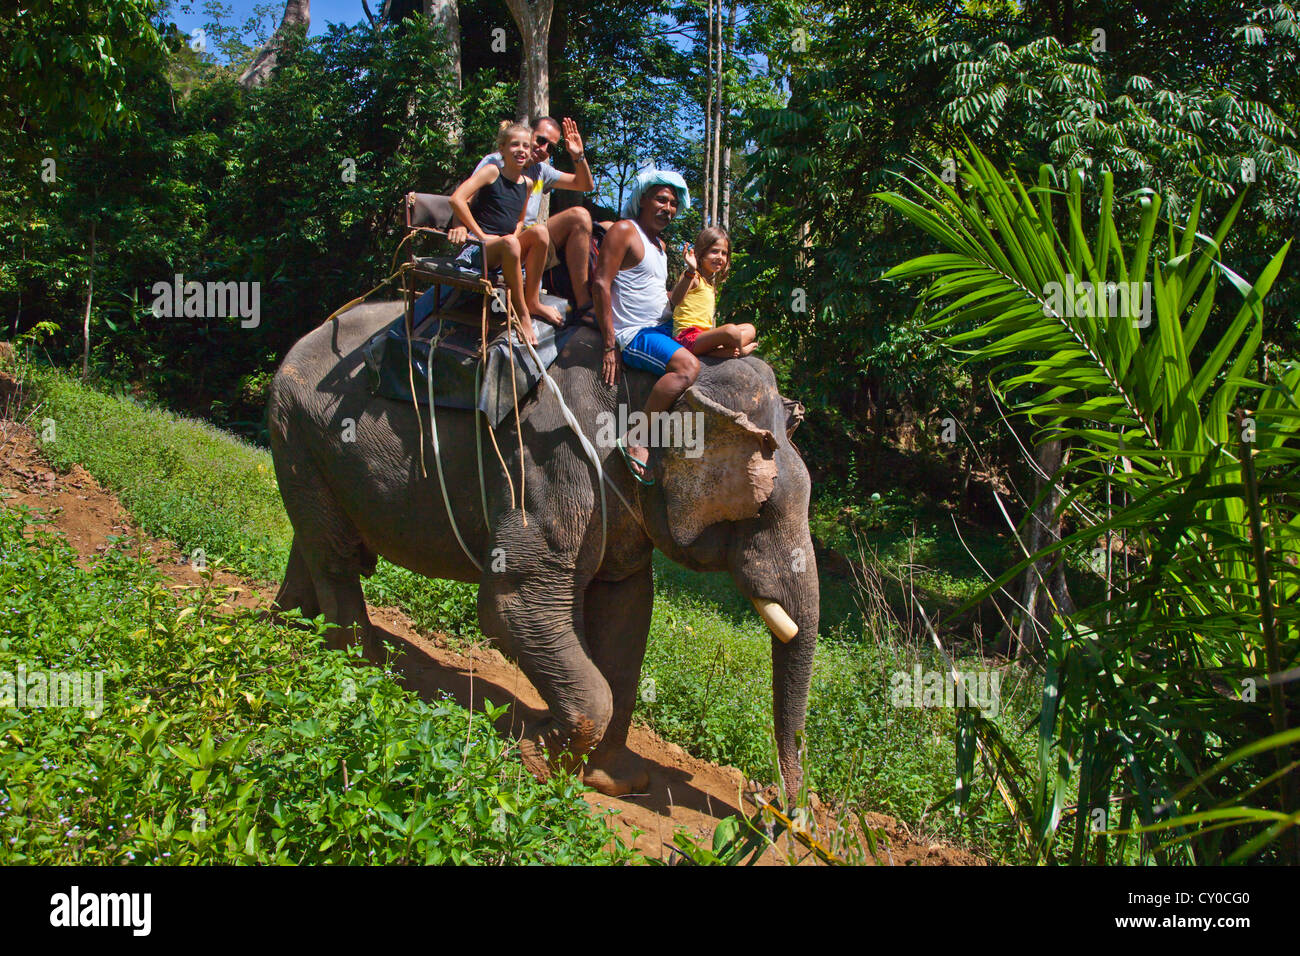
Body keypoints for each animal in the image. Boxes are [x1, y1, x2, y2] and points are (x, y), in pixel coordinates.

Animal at [266, 303, 819, 801]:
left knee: (316, 539)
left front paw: (613, 781)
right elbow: (513, 605)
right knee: (336, 556)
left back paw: (288, 628)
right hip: (294, 423)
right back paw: (362, 670)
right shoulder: (552, 466)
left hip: (309, 443)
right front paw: (537, 760)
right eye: (761, 507)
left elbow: (627, 611)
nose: (765, 799)